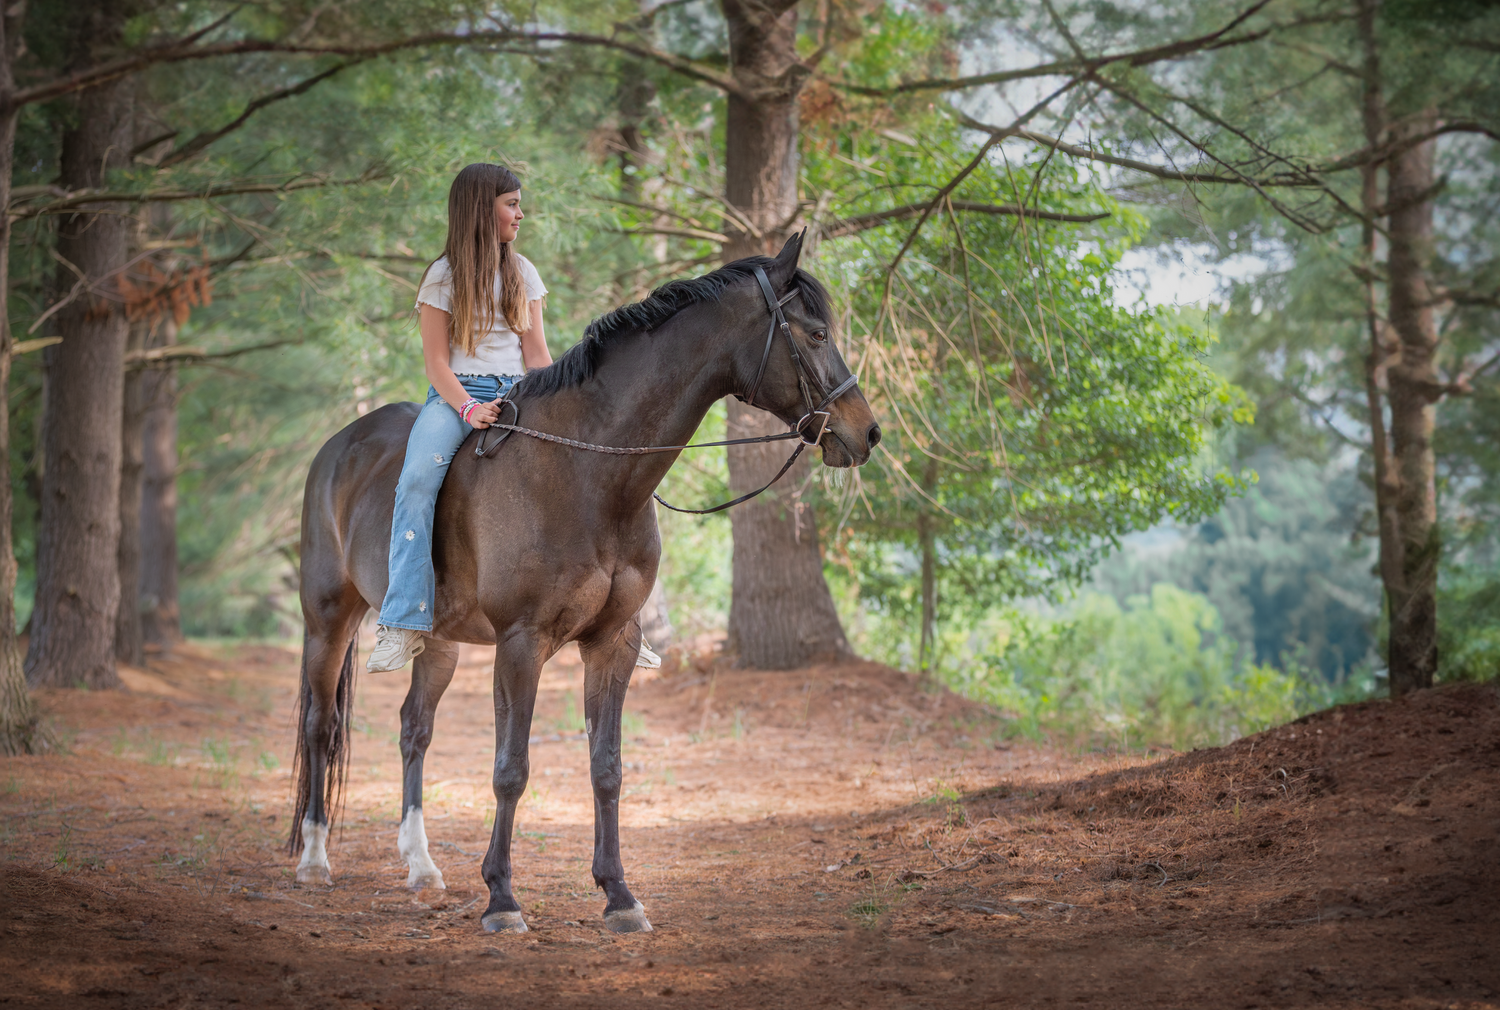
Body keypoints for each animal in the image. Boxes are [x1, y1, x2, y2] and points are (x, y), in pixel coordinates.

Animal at [288, 233, 879, 933]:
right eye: (816, 333)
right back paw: (314, 861)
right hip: (329, 619)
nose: (867, 433)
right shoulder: (522, 643)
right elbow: (511, 769)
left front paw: (619, 895)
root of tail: (339, 445)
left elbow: (607, 768)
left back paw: (421, 867)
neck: (589, 472)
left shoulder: (611, 644)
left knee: (414, 730)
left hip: (440, 642)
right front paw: (502, 899)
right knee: (321, 725)